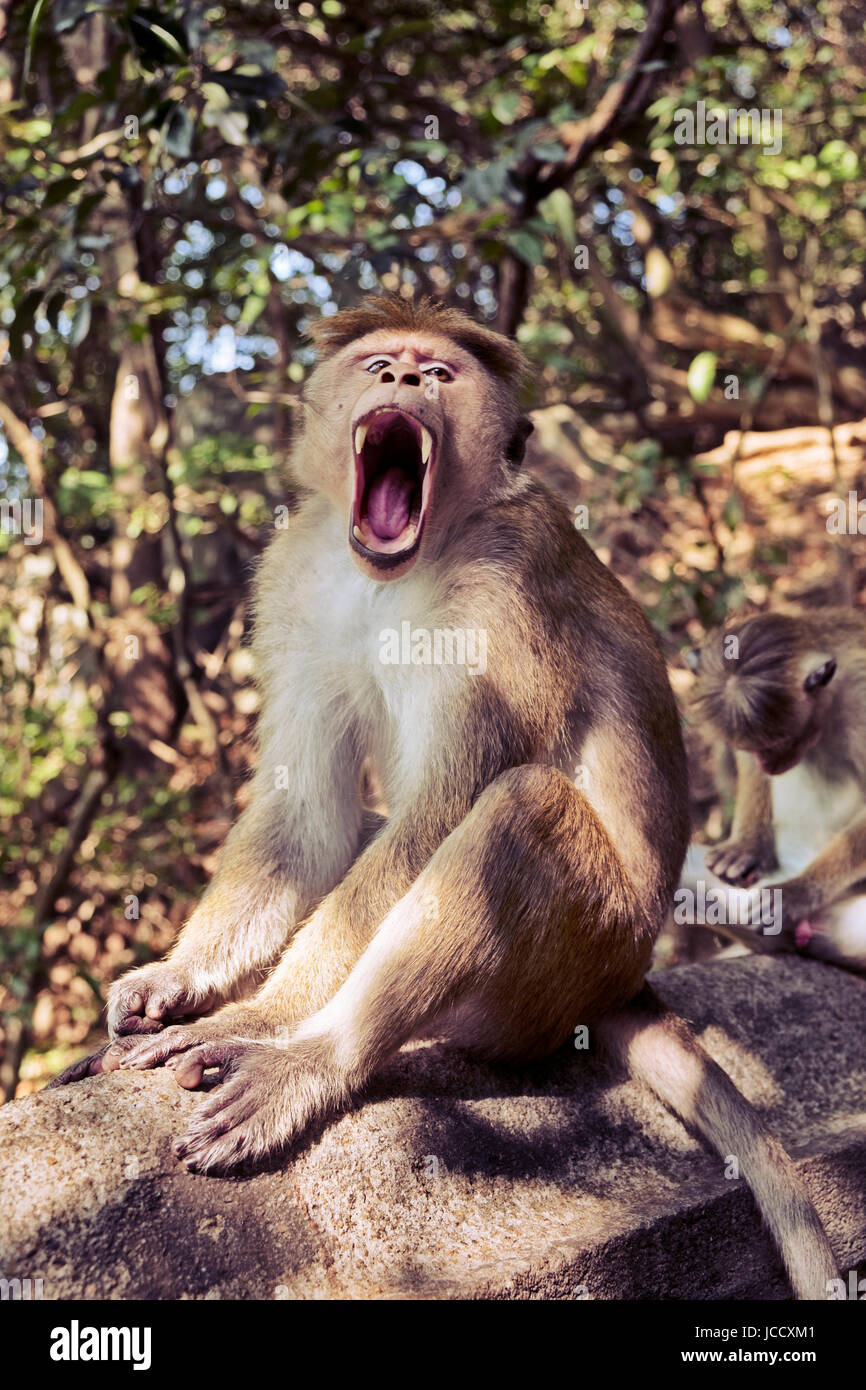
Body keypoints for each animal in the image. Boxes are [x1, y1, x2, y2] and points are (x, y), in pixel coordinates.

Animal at [53, 297, 837, 1299]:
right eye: (381, 363)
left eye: (440, 374)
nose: (402, 380)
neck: (401, 567)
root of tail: (627, 979)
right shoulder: (293, 581)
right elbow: (311, 814)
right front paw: (178, 980)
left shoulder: (503, 602)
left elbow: (435, 820)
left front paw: (252, 1018)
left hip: (567, 967)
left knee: (518, 811)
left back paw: (313, 1060)